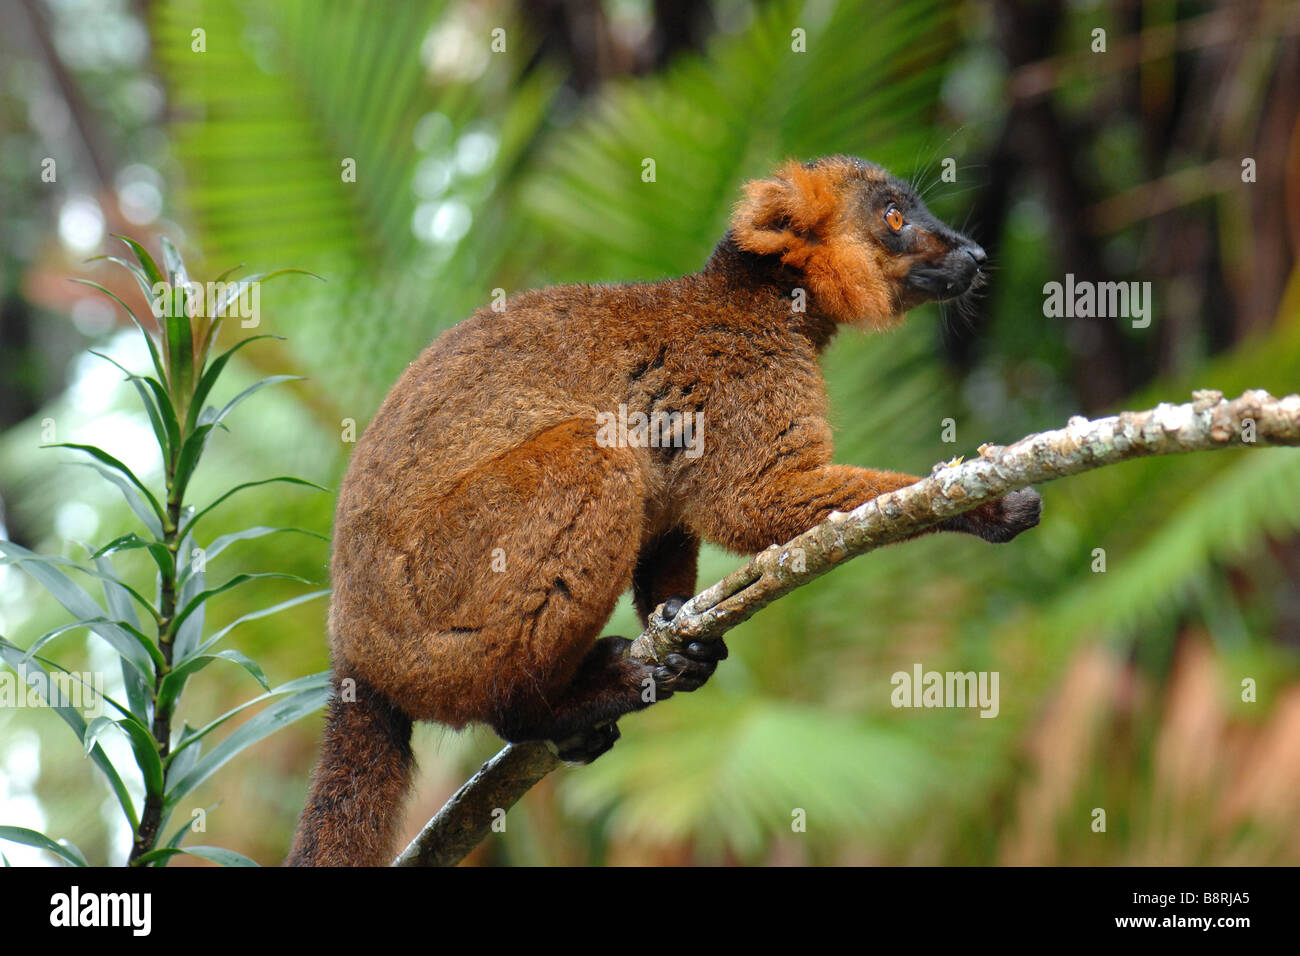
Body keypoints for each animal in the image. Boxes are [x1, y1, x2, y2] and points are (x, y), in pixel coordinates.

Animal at [286, 155, 1042, 866]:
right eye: (893, 218)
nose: (976, 255)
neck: (766, 300)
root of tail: (353, 647)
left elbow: (675, 516)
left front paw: (679, 627)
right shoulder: (743, 372)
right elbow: (749, 500)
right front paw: (980, 500)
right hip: (441, 605)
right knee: (597, 457)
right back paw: (556, 704)